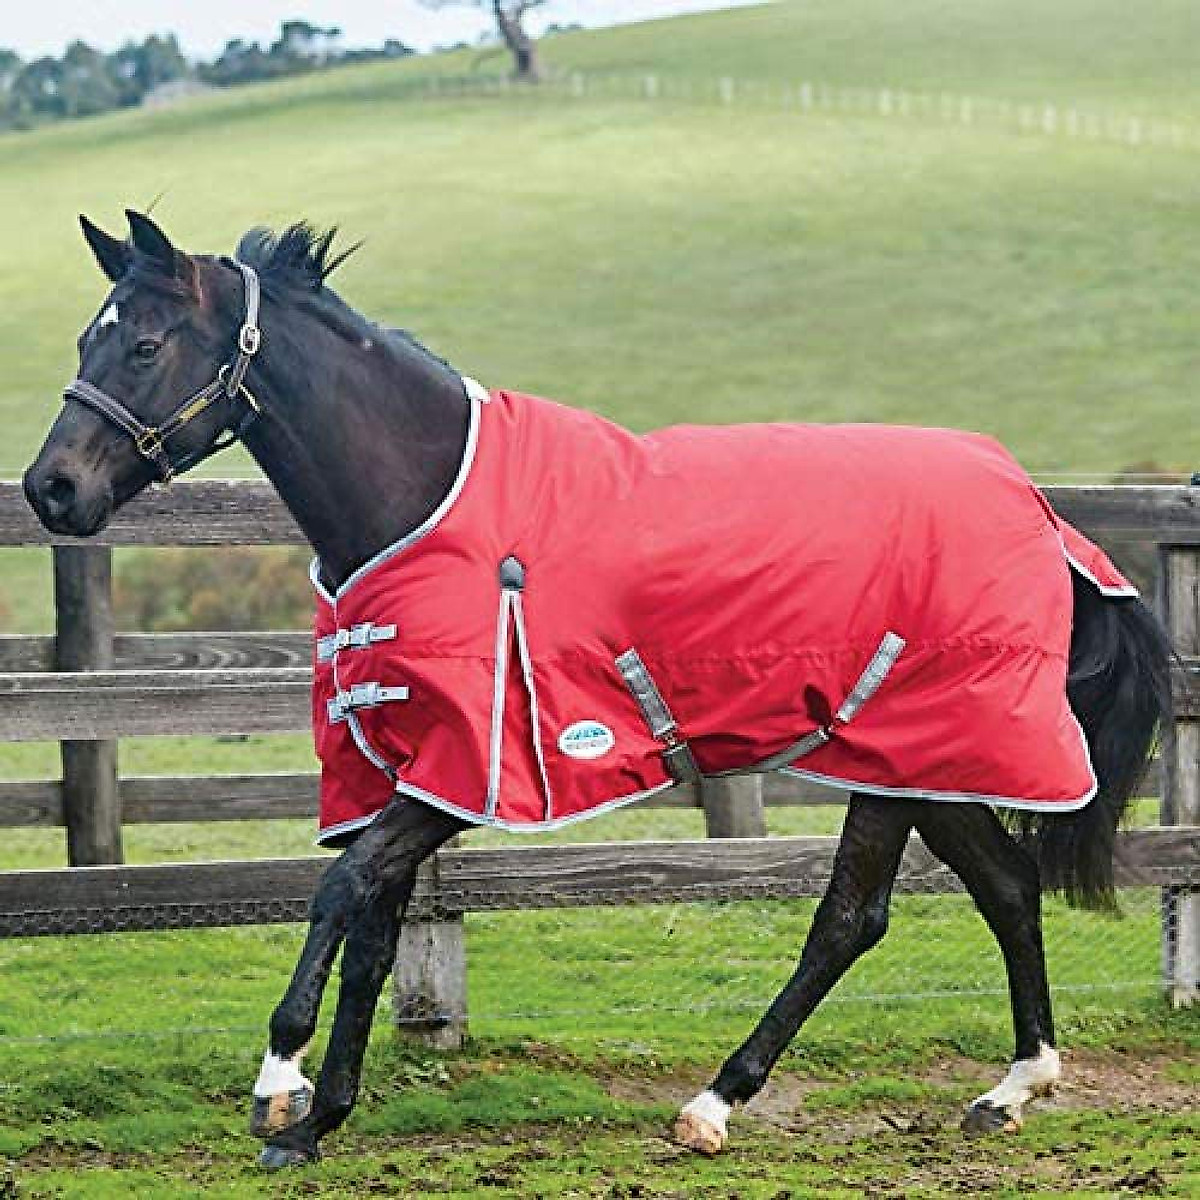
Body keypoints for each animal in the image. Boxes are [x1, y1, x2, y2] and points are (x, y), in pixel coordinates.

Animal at [24, 211, 1172, 1171]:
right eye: (85, 340)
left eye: (143, 345)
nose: (51, 489)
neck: (428, 501)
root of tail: (1041, 513)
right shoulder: (404, 769)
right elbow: (376, 925)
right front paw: (321, 1118)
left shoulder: (462, 777)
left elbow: (343, 892)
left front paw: (281, 1086)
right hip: (922, 761)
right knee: (1005, 887)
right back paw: (1011, 1088)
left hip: (901, 757)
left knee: (852, 919)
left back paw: (716, 1103)